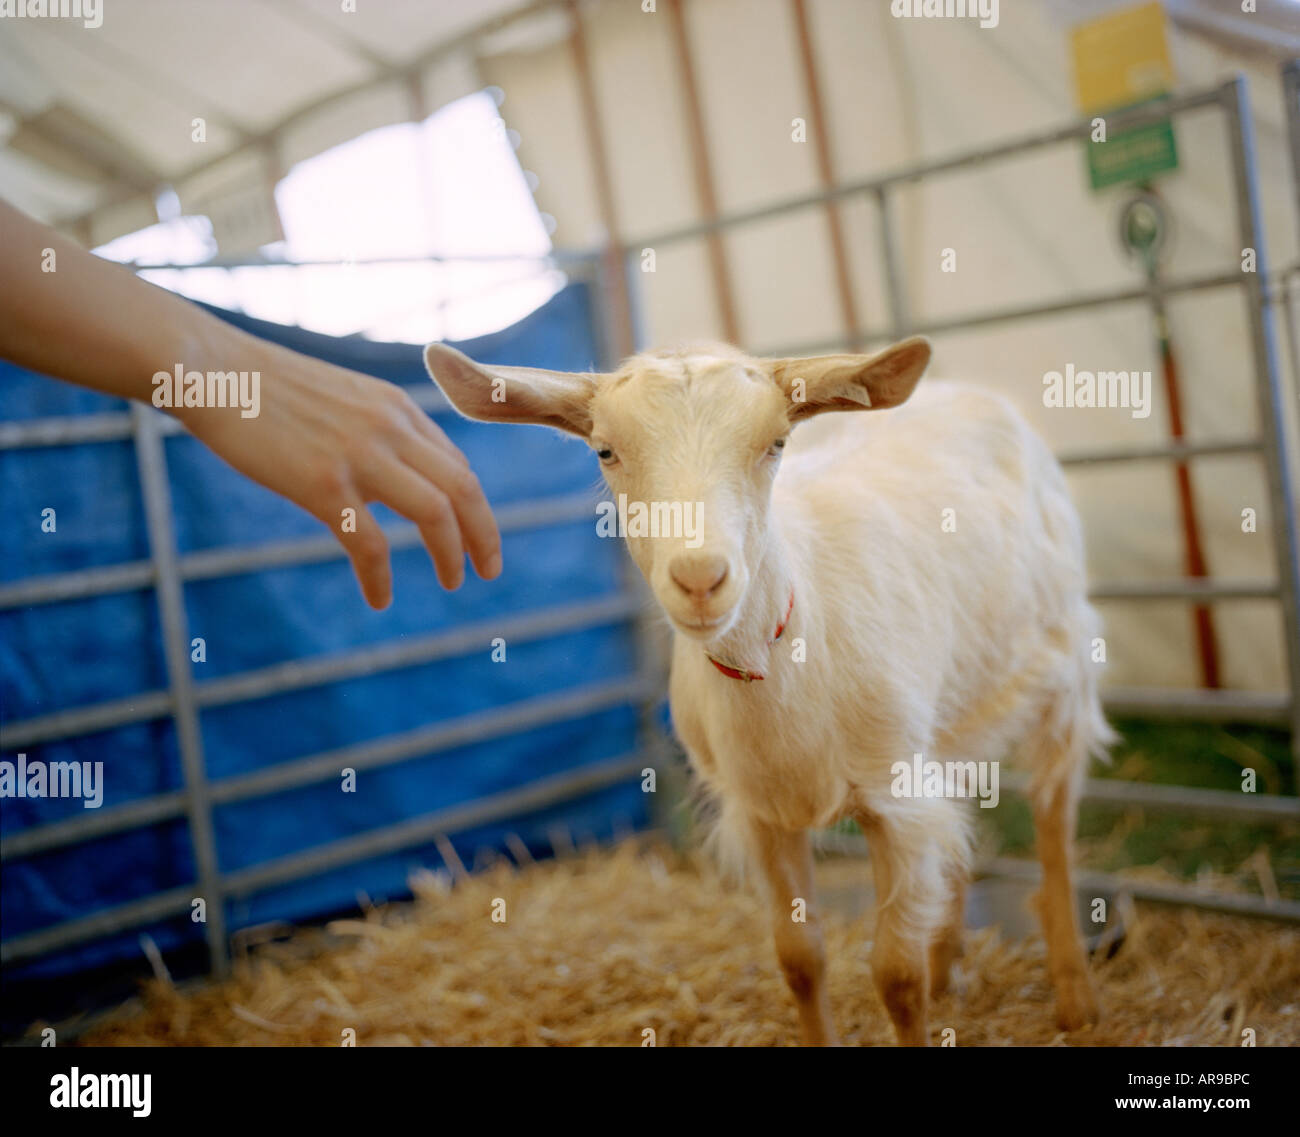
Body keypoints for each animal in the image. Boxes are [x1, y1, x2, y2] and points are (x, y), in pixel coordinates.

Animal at [425, 336, 1113, 1046]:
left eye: (777, 442)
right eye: (605, 451)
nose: (701, 578)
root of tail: (967, 391)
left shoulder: (890, 795)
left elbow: (897, 977)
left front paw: (919, 986)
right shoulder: (761, 814)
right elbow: (800, 960)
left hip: (1065, 661)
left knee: (1054, 822)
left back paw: (1076, 999)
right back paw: (950, 963)